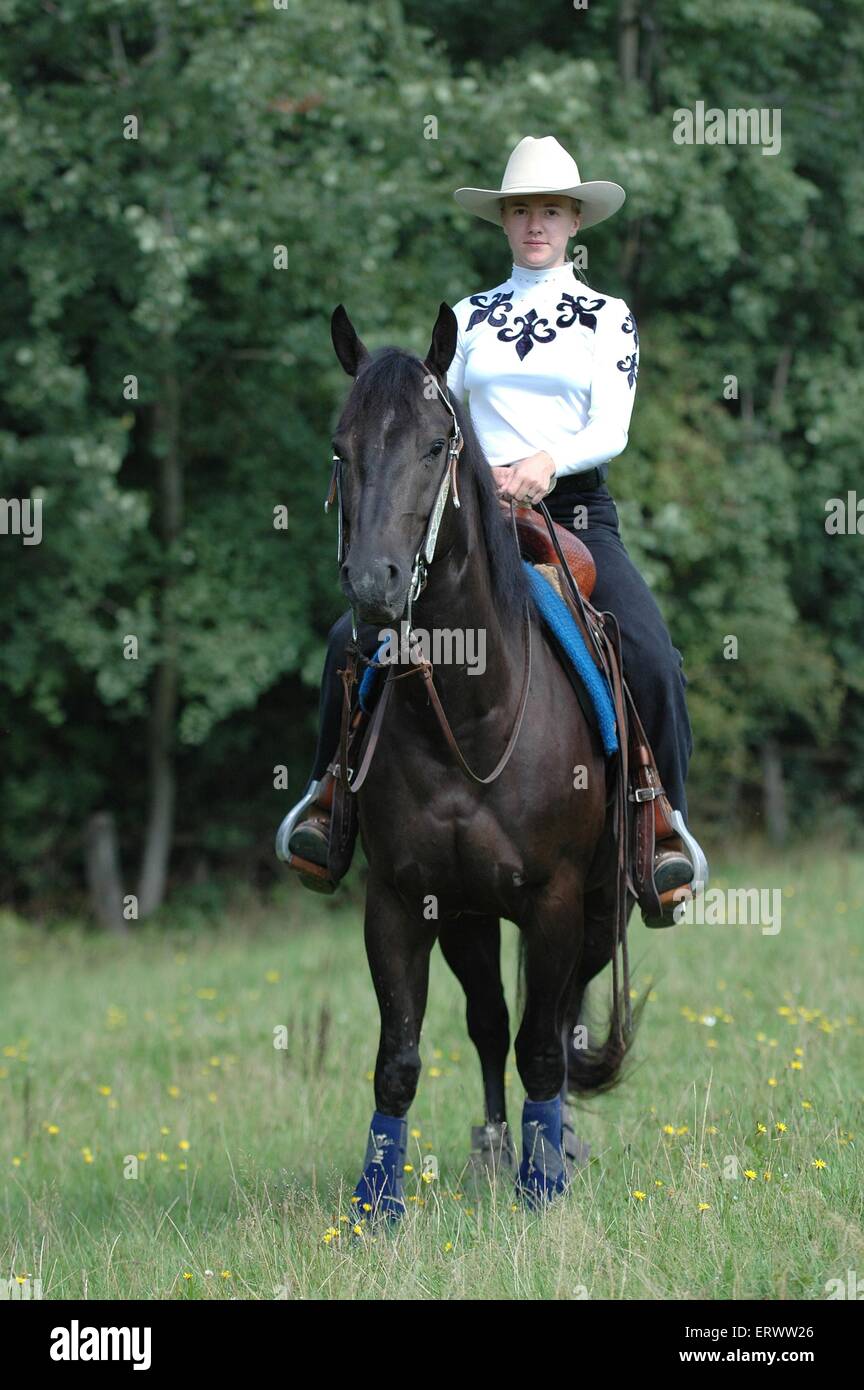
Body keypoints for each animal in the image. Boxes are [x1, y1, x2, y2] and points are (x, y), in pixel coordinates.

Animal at [327, 300, 640, 1216]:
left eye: (437, 444)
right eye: (342, 447)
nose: (375, 583)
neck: (469, 719)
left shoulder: (557, 899)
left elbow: (544, 1043)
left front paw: (544, 1192)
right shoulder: (403, 900)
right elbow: (400, 1060)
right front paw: (377, 1206)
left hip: (605, 909)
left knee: (558, 1021)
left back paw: (551, 1146)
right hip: (468, 916)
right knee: (492, 1021)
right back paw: (498, 1149)